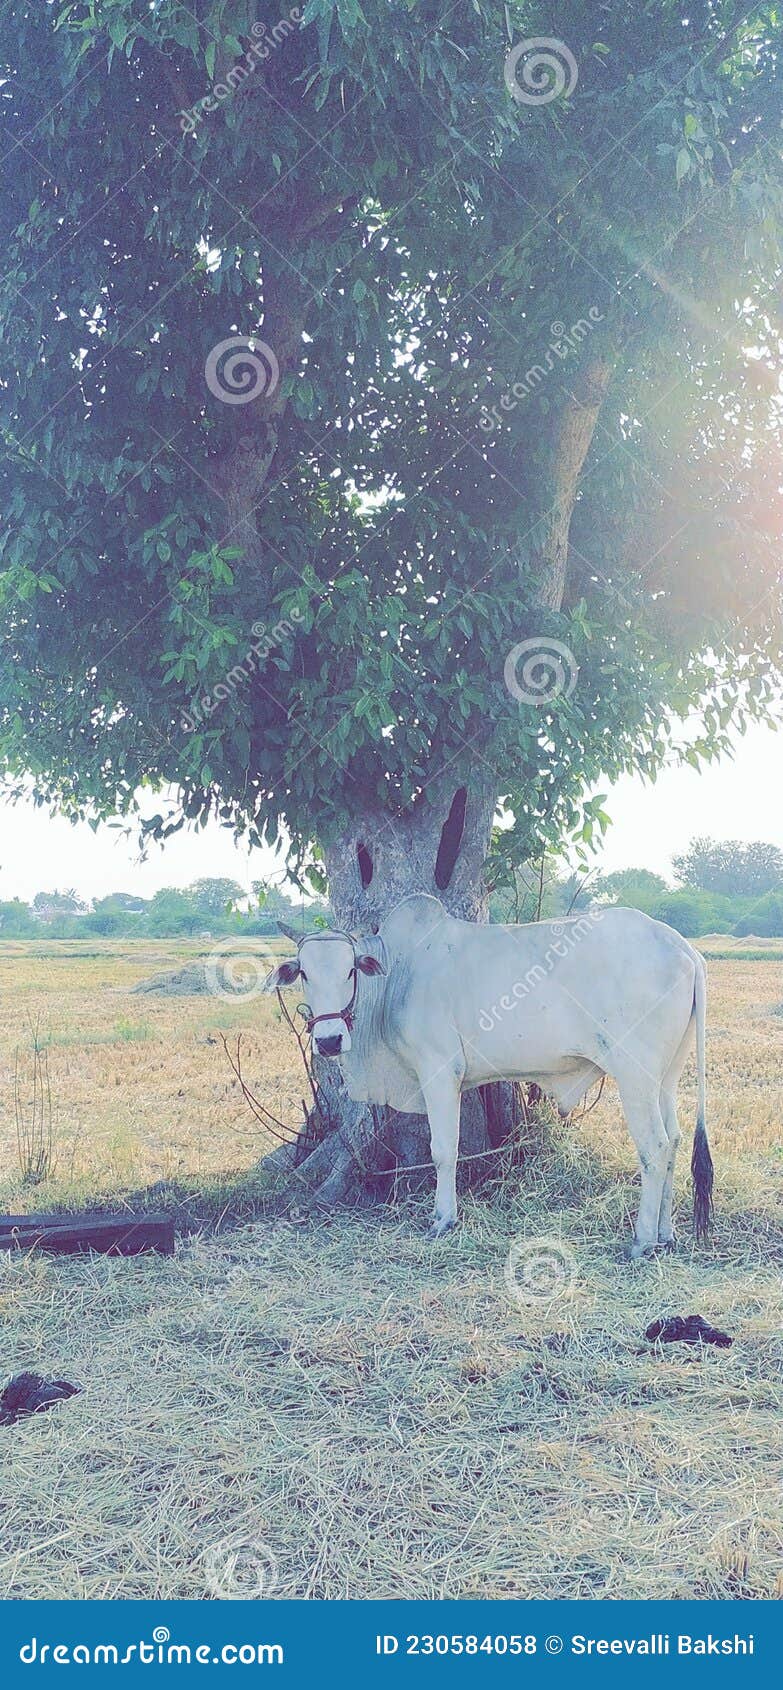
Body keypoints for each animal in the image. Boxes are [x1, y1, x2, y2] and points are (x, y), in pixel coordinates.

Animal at [264, 894, 712, 1256]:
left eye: (350, 971)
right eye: (303, 973)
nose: (329, 1041)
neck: (399, 974)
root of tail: (682, 948)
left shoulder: (439, 1071)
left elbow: (444, 1151)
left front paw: (443, 1219)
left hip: (635, 1074)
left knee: (654, 1146)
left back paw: (641, 1240)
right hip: (665, 1076)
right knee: (674, 1141)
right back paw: (666, 1234)